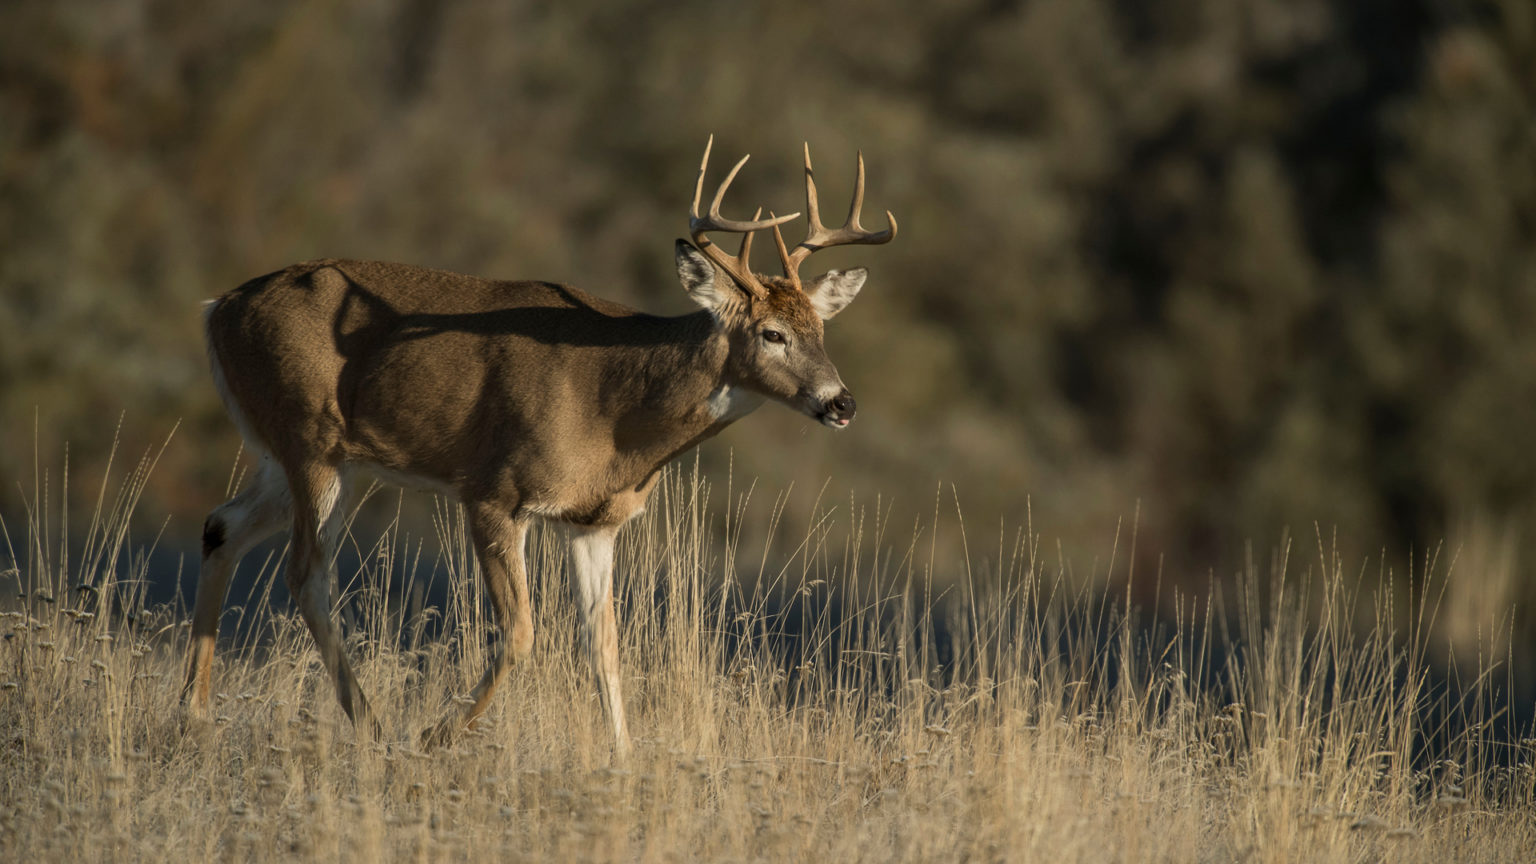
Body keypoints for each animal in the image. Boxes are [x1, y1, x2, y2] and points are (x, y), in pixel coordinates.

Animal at [181, 137, 896, 757]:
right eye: (773, 333)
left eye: (821, 328)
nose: (842, 403)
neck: (616, 419)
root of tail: (218, 308)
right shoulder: (492, 491)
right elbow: (523, 633)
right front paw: (437, 736)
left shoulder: (595, 522)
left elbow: (604, 647)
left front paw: (625, 760)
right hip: (313, 442)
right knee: (306, 573)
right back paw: (376, 728)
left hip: (303, 458)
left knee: (223, 526)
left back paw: (194, 713)